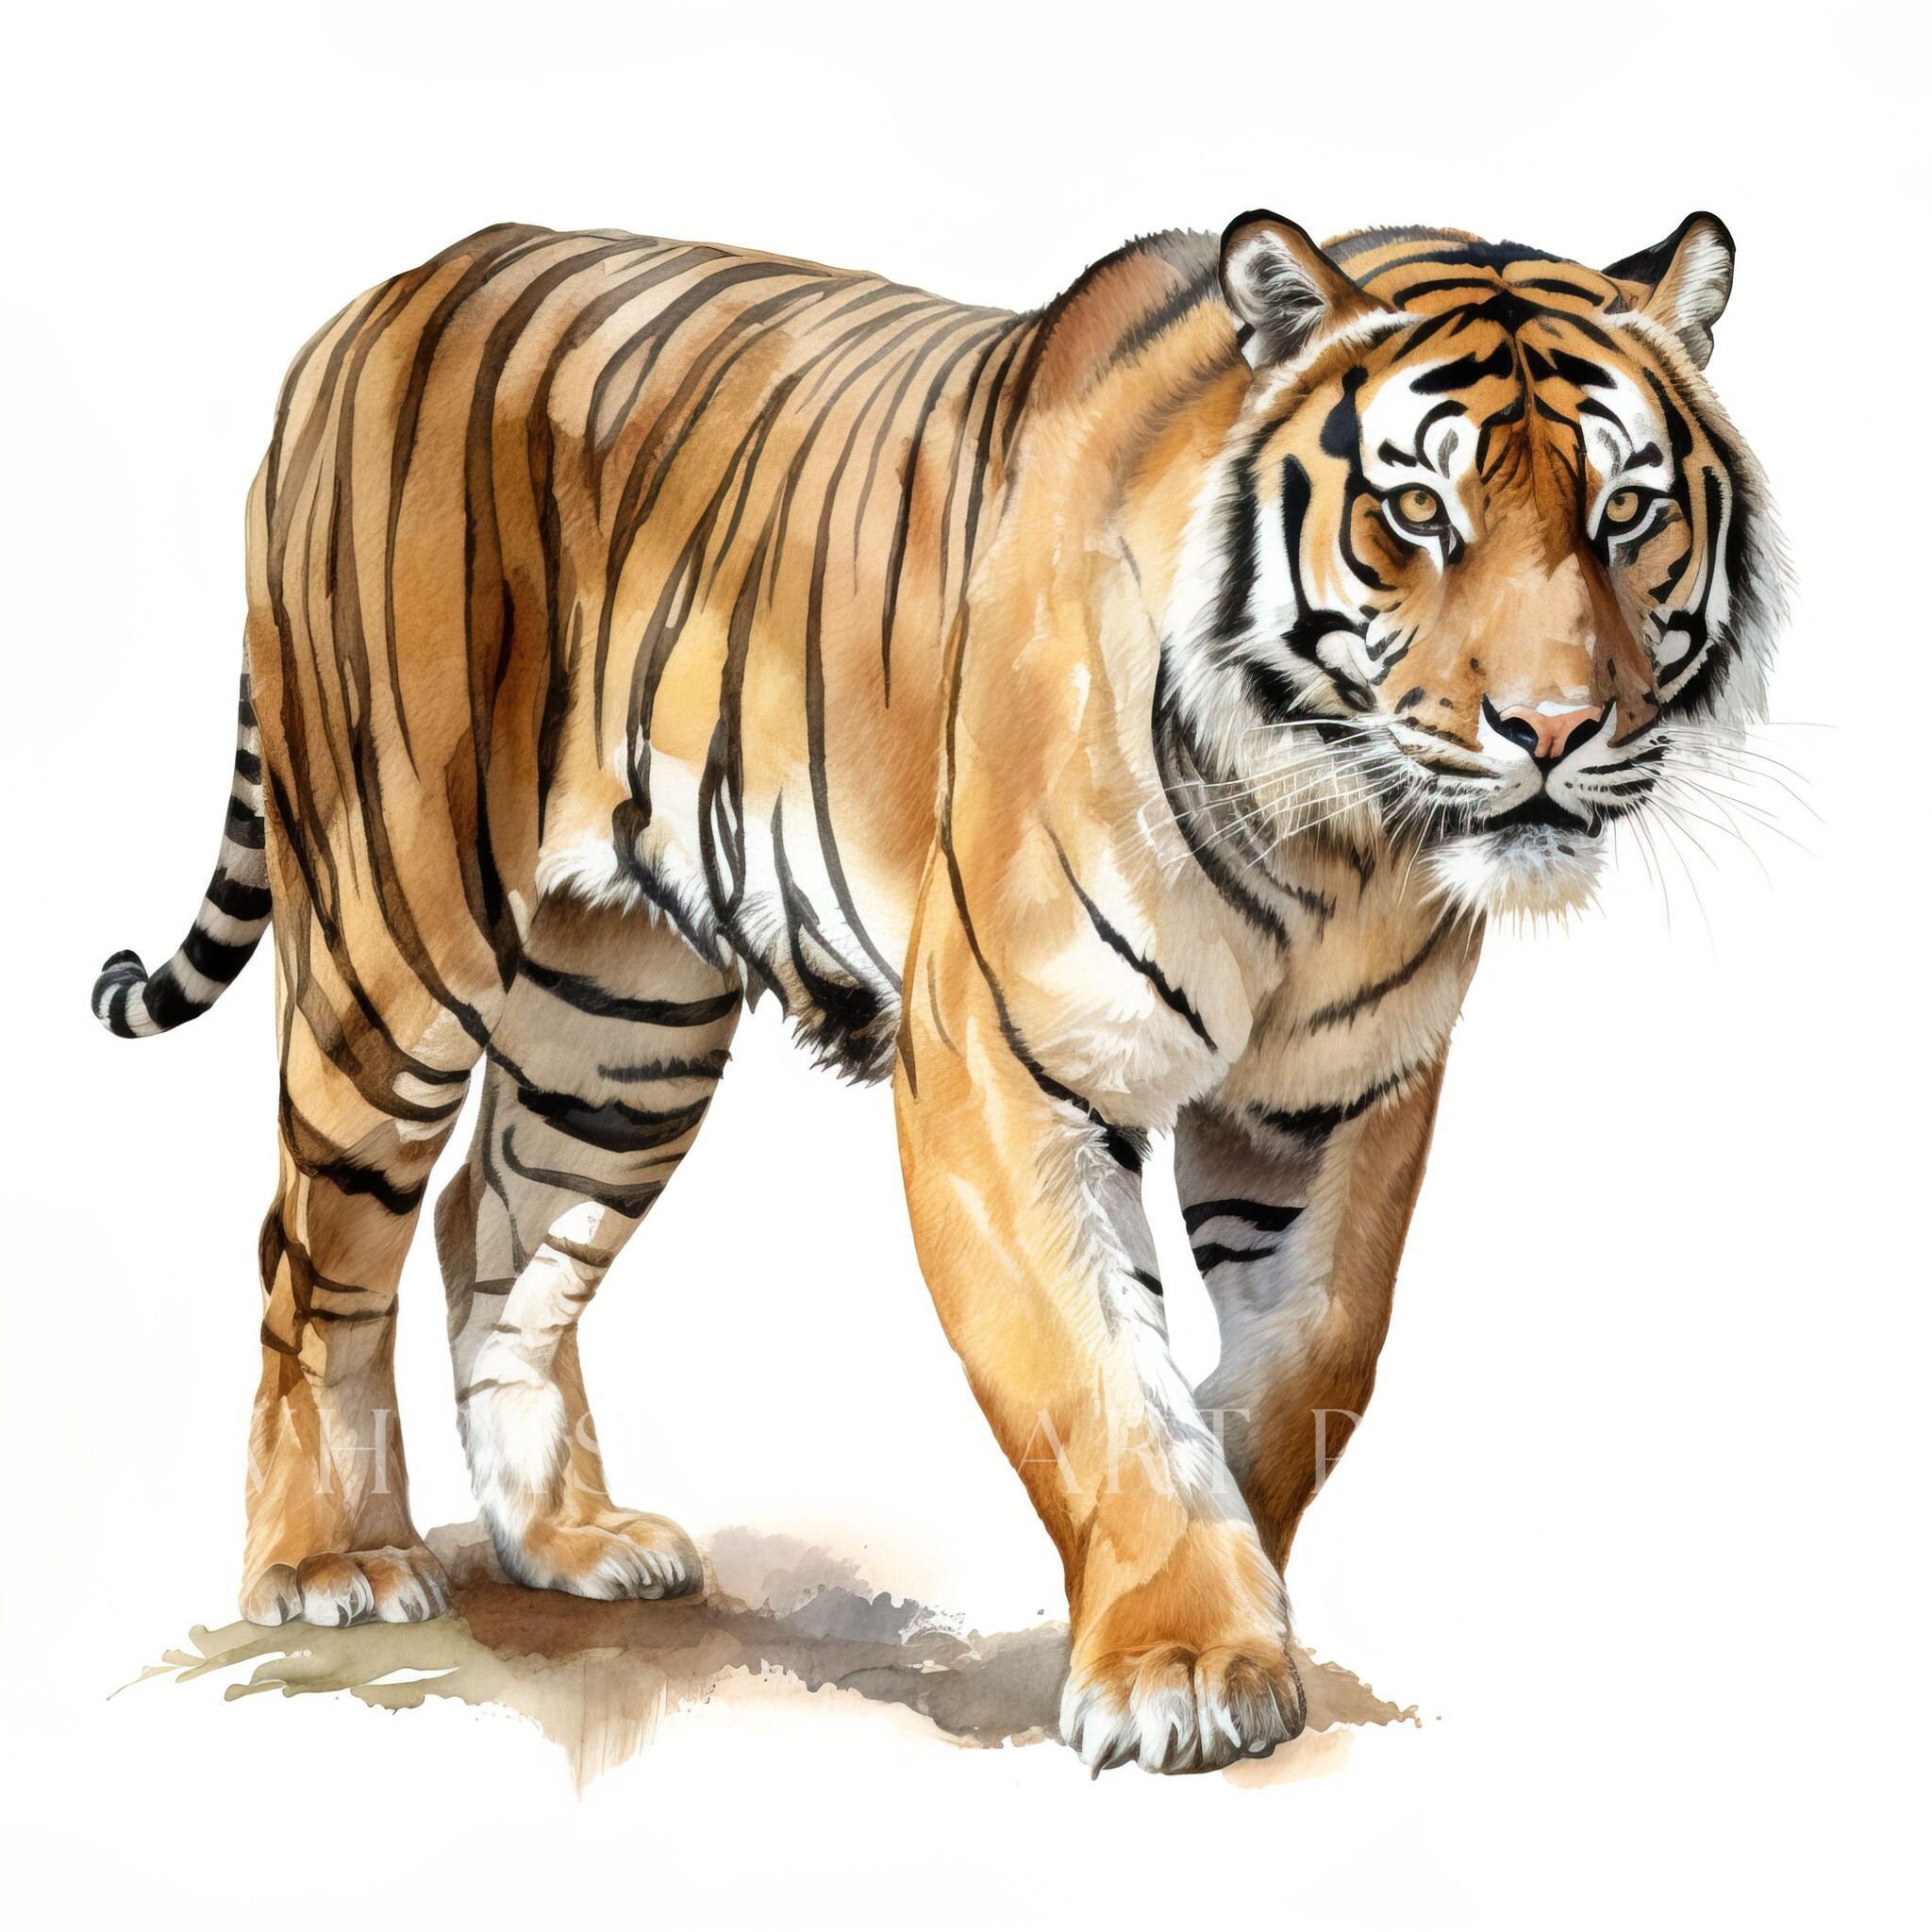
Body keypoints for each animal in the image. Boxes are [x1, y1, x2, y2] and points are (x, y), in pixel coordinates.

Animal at [92, 209, 1785, 1773]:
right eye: (1417, 511)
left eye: (1626, 510)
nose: (1553, 729)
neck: (1337, 839)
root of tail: (377, 301)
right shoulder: (1003, 1071)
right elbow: (1103, 1379)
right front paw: (1181, 1662)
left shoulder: (1336, 1102)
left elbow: (1305, 1362)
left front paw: (1229, 1592)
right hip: (397, 930)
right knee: (319, 1245)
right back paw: (332, 1560)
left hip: (622, 1021)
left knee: (494, 1229)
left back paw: (568, 1542)